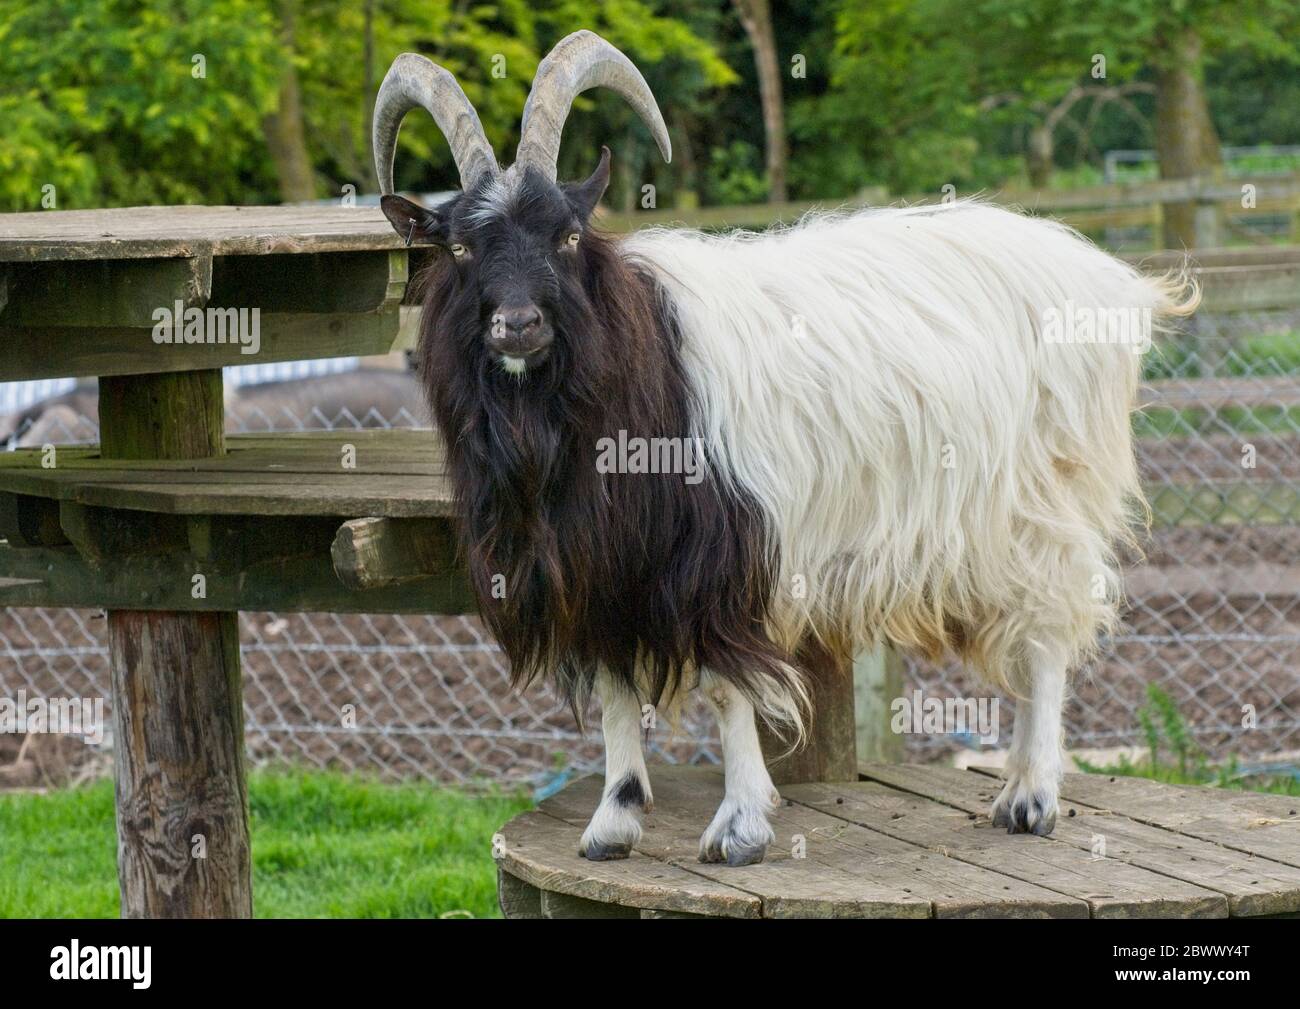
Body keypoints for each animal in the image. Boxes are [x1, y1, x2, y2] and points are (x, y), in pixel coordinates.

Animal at [373, 31, 1198, 865]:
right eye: (462, 246)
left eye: (567, 235)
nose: (518, 325)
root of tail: (1112, 280)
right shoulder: (598, 564)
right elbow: (613, 690)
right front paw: (613, 817)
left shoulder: (723, 548)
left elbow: (726, 682)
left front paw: (739, 825)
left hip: (1044, 498)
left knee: (1048, 632)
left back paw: (1033, 795)